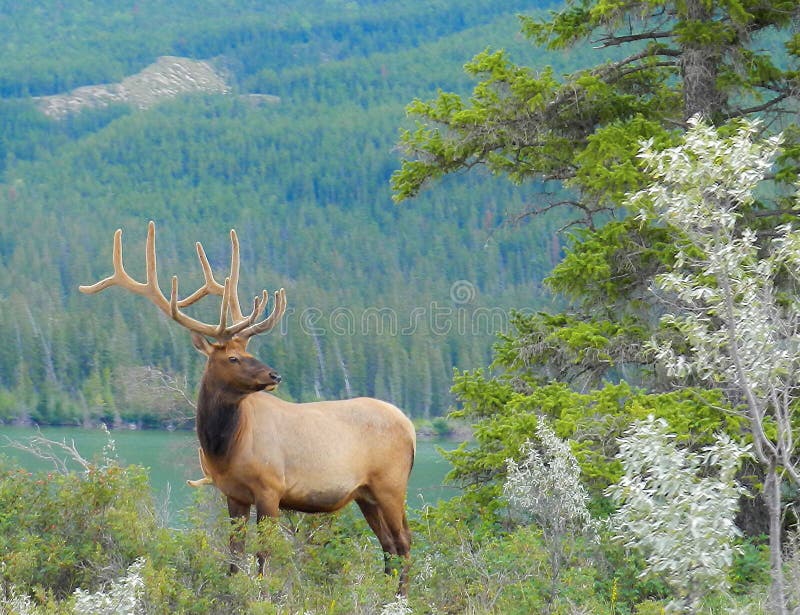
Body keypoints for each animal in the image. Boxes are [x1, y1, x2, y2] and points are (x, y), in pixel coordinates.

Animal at [79, 221, 416, 594]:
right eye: (233, 357)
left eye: (248, 351)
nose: (275, 375)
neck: (225, 446)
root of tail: (410, 425)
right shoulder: (234, 494)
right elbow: (234, 556)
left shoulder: (270, 487)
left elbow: (263, 555)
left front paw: (263, 595)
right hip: (365, 493)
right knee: (388, 544)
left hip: (390, 483)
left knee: (403, 541)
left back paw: (402, 598)